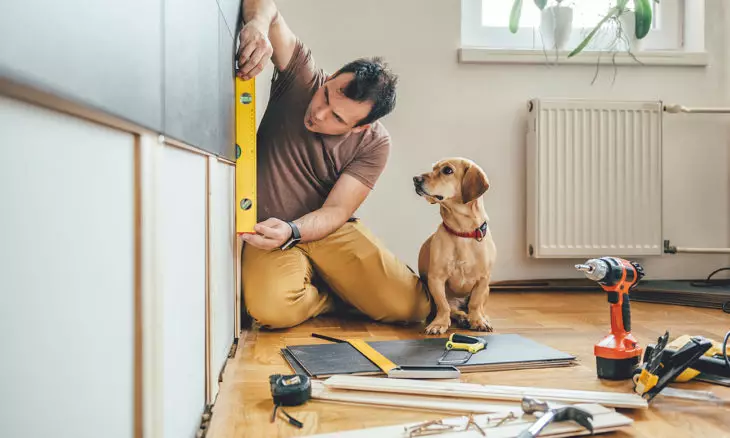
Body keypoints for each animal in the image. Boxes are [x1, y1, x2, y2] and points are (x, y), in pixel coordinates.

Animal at [410, 159, 494, 334]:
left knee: (478, 307)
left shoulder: (483, 279)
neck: (462, 232)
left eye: (447, 170)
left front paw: (478, 321)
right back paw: (462, 318)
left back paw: (480, 317)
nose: (415, 179)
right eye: (433, 168)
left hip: (487, 289)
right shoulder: (436, 279)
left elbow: (475, 303)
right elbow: (443, 305)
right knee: (455, 310)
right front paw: (439, 323)